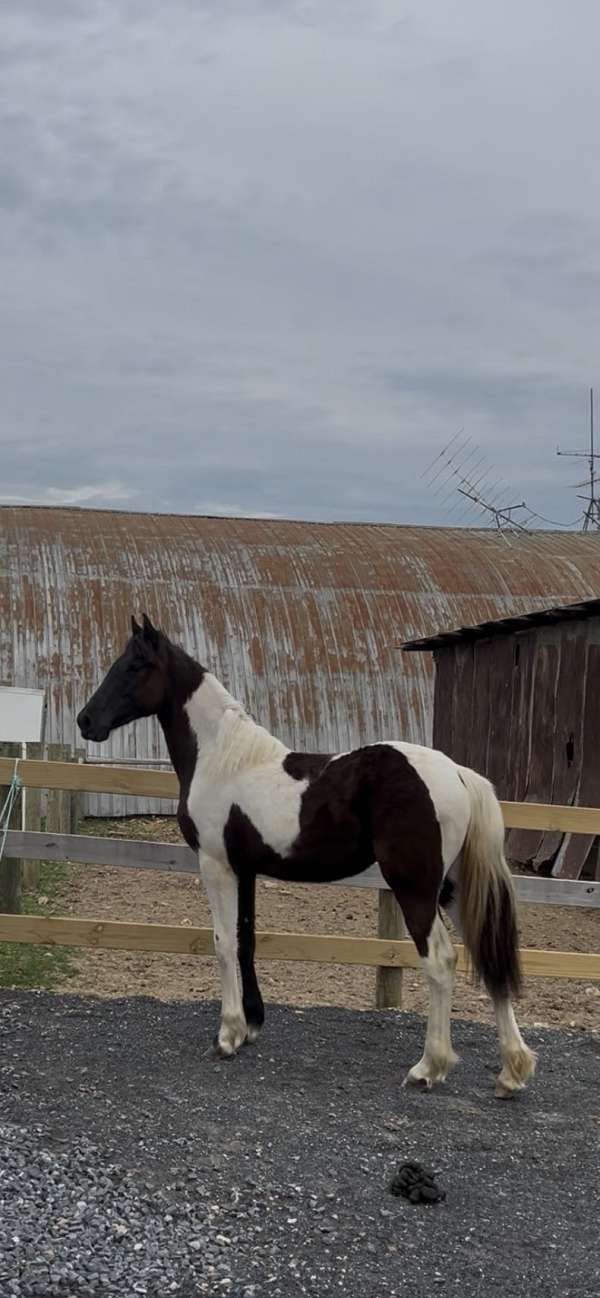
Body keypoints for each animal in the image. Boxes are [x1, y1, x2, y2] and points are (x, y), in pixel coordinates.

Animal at [77, 614, 536, 1098]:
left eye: (134, 665)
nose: (86, 720)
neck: (223, 758)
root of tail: (458, 772)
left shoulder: (216, 865)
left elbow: (223, 943)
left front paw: (227, 1035)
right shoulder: (246, 869)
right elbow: (245, 940)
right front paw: (251, 1026)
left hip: (415, 887)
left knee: (441, 961)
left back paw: (428, 1067)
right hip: (453, 887)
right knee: (489, 957)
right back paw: (512, 1071)